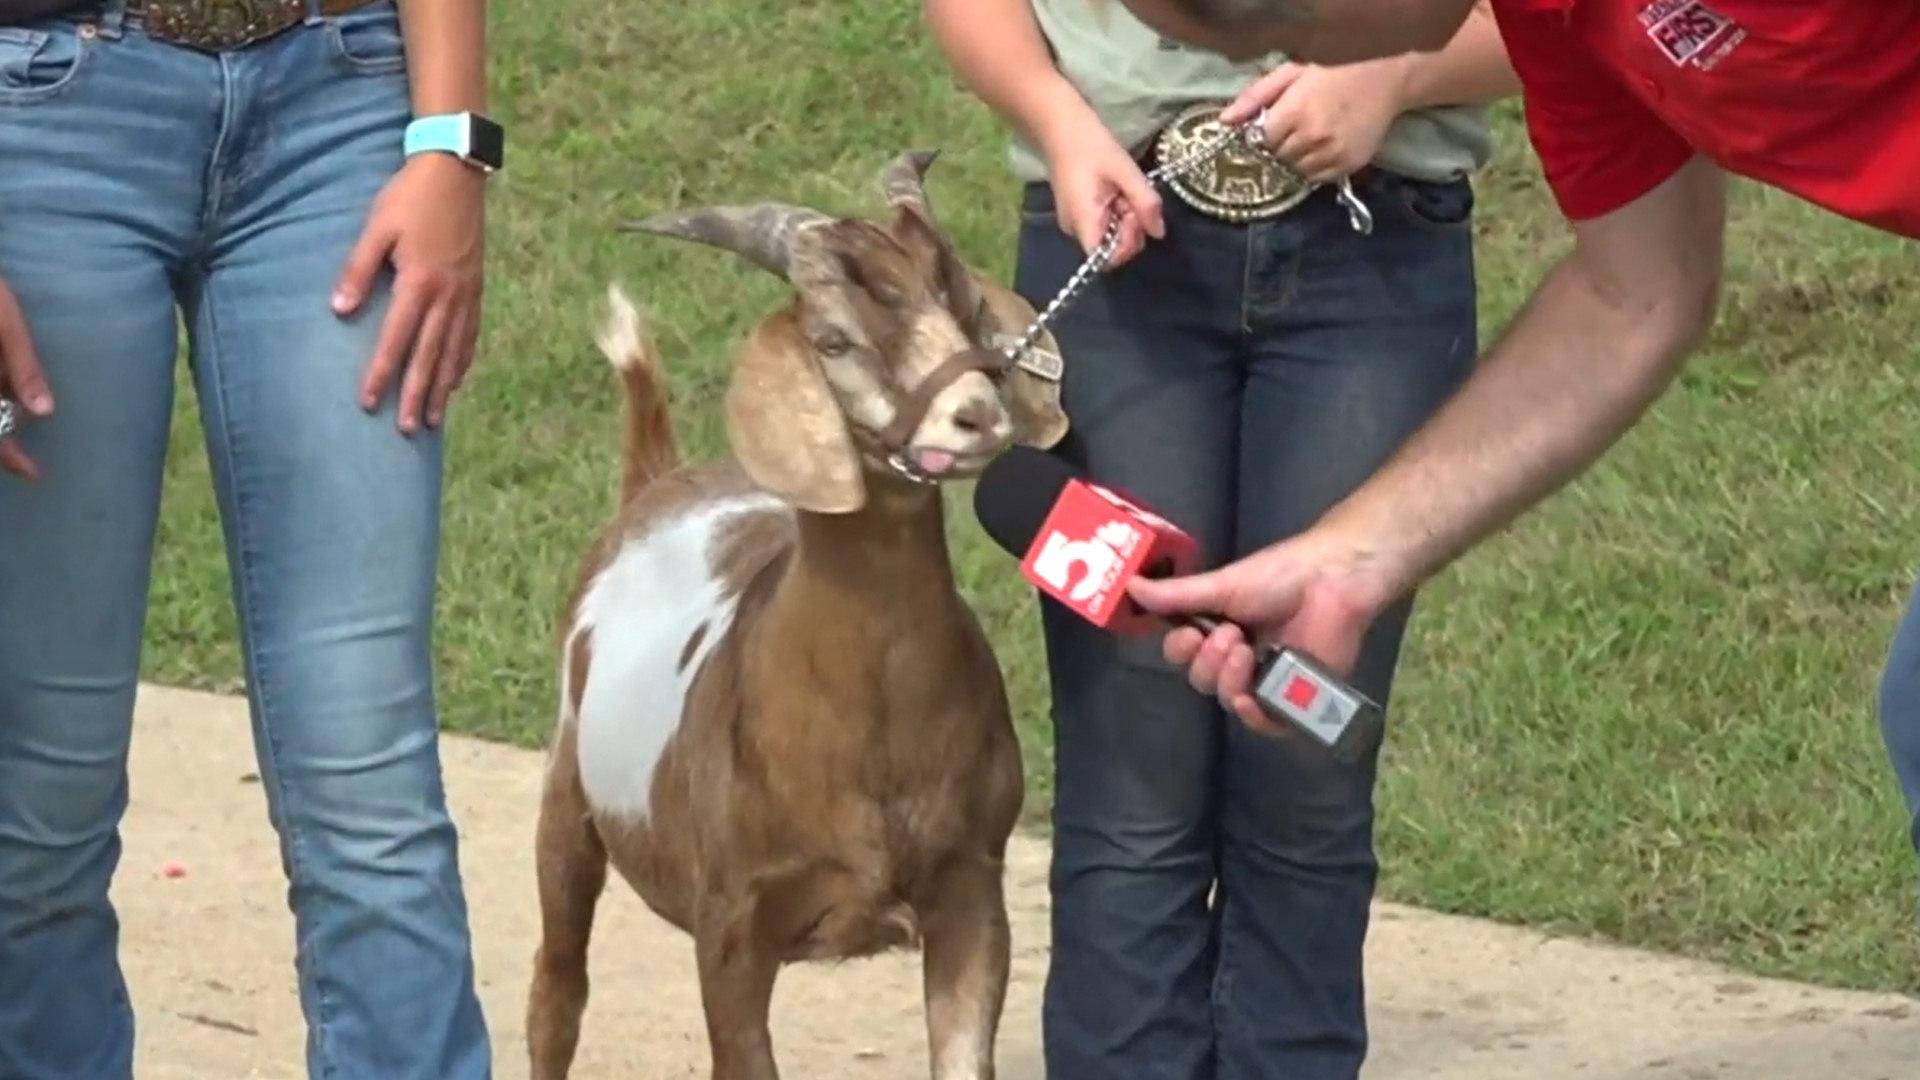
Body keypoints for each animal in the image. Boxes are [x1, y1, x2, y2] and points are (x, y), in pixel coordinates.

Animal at [525, 150, 1072, 1080]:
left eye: (960, 307)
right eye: (833, 340)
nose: (976, 415)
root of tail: (655, 483)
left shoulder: (972, 893)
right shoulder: (732, 927)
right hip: (568, 798)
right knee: (557, 993)